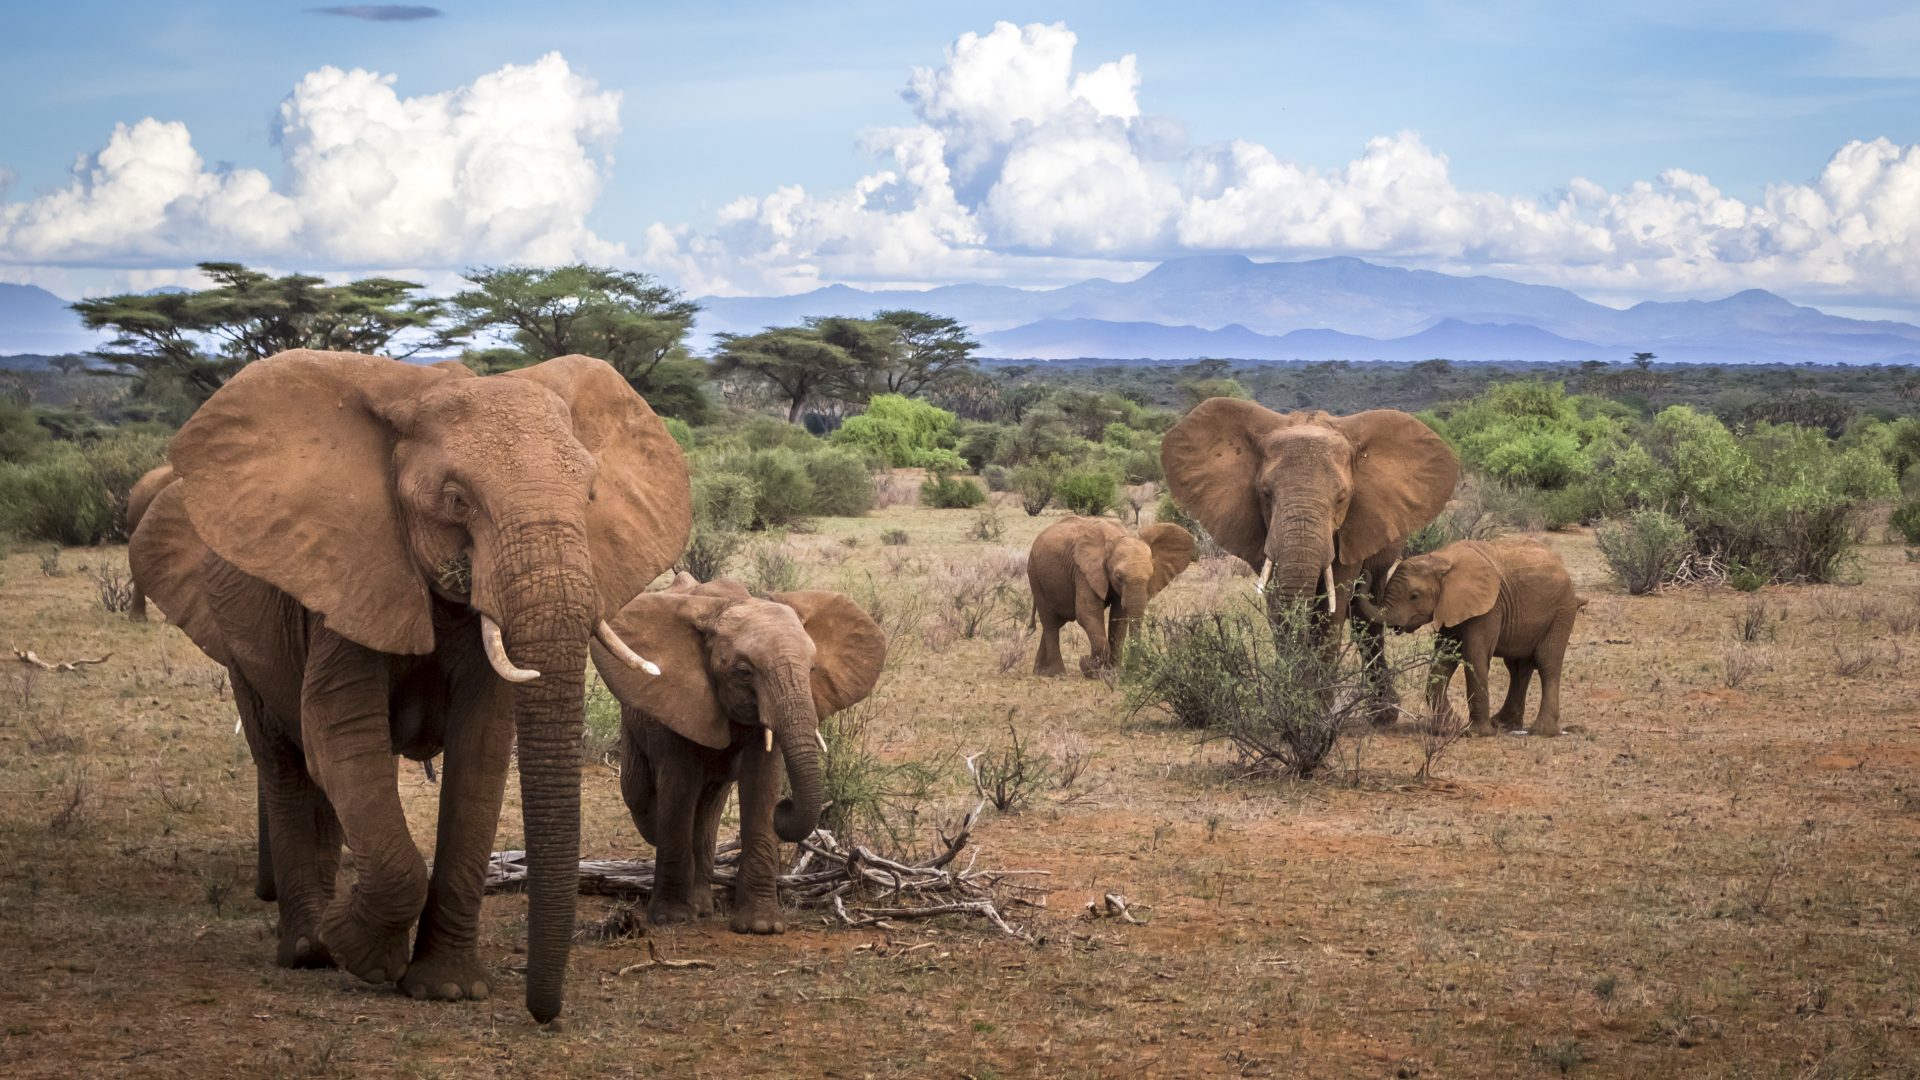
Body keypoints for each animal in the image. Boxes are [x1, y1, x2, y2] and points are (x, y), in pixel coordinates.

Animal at [128, 349, 689, 1023]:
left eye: (590, 494)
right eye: (456, 500)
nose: (542, 1014)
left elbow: (481, 751)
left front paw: (447, 988)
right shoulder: (350, 570)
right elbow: (342, 733)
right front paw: (357, 948)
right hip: (239, 634)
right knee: (286, 759)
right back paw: (308, 949)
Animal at [591, 573, 885, 933]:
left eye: (812, 670)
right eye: (744, 673)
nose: (784, 808)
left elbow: (761, 783)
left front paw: (762, 926)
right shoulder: (673, 701)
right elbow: (678, 786)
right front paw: (671, 918)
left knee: (708, 805)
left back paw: (702, 907)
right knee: (640, 793)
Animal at [1027, 516, 1195, 676]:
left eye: (1150, 577)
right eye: (1118, 577)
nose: (1132, 670)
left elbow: (1119, 617)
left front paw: (1112, 672)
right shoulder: (1084, 571)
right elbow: (1087, 614)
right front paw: (1090, 669)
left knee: (1057, 622)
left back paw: (1040, 672)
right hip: (1035, 575)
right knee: (1050, 621)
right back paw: (1058, 674)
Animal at [1161, 398, 1458, 719]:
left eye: (1341, 498)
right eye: (1265, 494)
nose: (1297, 695)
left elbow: (1332, 607)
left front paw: (1317, 713)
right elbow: (1278, 605)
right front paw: (1291, 708)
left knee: (1366, 618)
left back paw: (1383, 715)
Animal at [1350, 538, 1580, 736]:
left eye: (1414, 596)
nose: (1364, 572)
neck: (1441, 560)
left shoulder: (1488, 607)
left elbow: (1474, 655)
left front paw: (1477, 733)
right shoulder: (1450, 606)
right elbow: (1444, 659)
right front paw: (1447, 729)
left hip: (1563, 611)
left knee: (1546, 662)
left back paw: (1541, 732)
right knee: (1518, 667)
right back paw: (1503, 724)